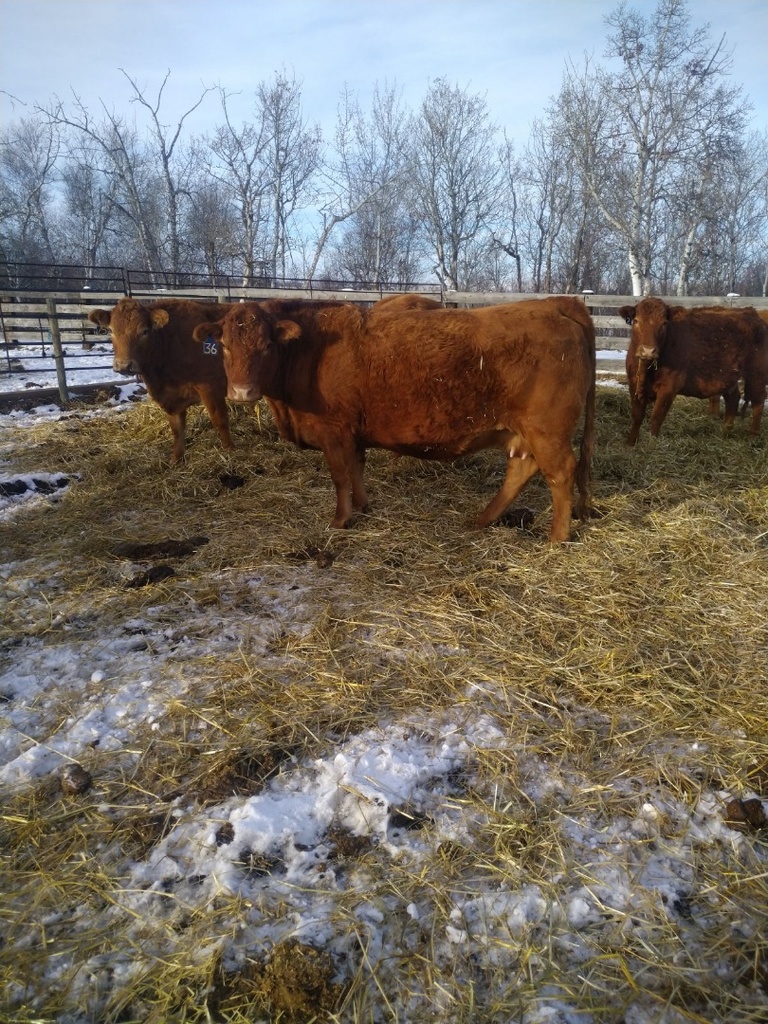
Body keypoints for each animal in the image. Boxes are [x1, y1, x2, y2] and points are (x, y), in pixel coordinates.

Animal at [87, 298, 234, 462]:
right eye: (111, 331)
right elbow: (177, 429)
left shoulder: (210, 386)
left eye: (144, 331)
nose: (124, 365)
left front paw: (230, 451)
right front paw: (176, 459)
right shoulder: (172, 397)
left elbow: (220, 421)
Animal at [192, 296, 596, 542]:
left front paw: (339, 520)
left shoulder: (334, 430)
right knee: (522, 469)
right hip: (525, 433)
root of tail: (557, 302)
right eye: (224, 346)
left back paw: (557, 536)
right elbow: (356, 470)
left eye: (266, 346)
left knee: (561, 473)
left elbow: (339, 476)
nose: (242, 392)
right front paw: (362, 507)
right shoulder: (354, 432)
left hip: (547, 431)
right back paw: (484, 519)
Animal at [620, 298, 768, 445]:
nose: (648, 351)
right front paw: (630, 444)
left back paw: (753, 437)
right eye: (636, 321)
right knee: (733, 399)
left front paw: (652, 445)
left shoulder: (669, 387)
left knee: (758, 402)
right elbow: (637, 416)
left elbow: (656, 418)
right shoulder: (633, 383)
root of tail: (752, 313)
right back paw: (724, 433)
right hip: (728, 377)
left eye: (664, 323)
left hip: (757, 375)